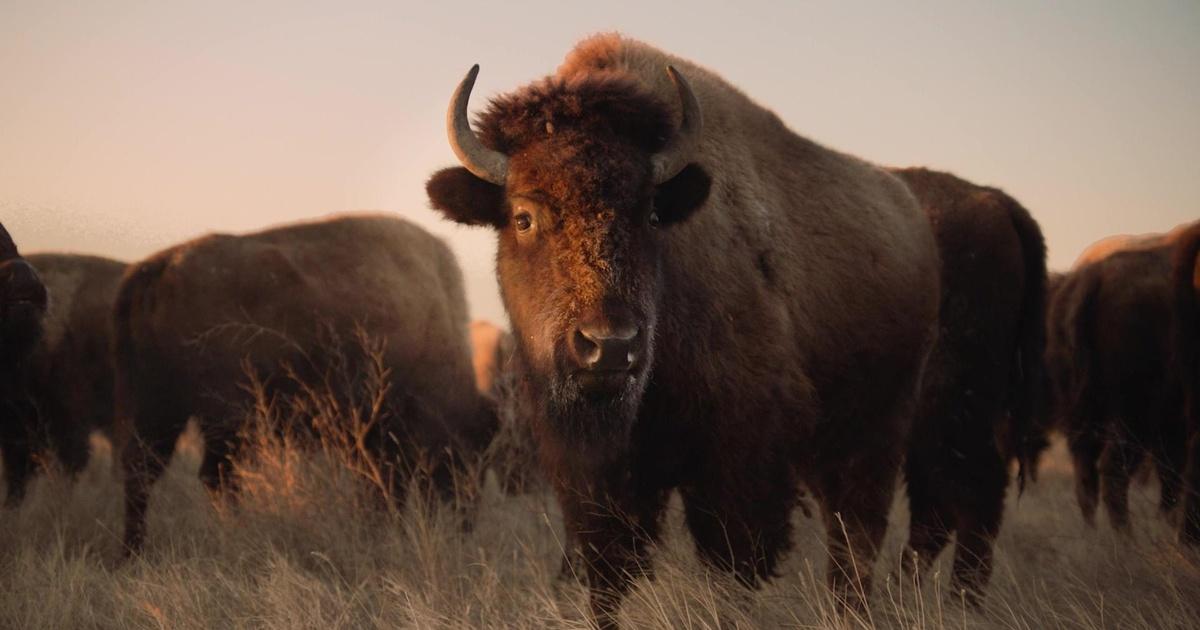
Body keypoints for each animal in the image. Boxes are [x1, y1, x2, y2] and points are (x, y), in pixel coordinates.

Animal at [116, 215, 497, 552]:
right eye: (470, 452)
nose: (467, 522)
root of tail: (160, 266)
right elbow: (388, 490)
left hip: (160, 408)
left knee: (142, 471)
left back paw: (134, 554)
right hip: (223, 416)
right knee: (216, 476)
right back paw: (237, 534)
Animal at [426, 34, 940, 626]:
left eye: (651, 214)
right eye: (523, 217)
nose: (610, 347)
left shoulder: (738, 464)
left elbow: (732, 567)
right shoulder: (595, 478)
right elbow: (607, 573)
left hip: (876, 431)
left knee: (856, 536)